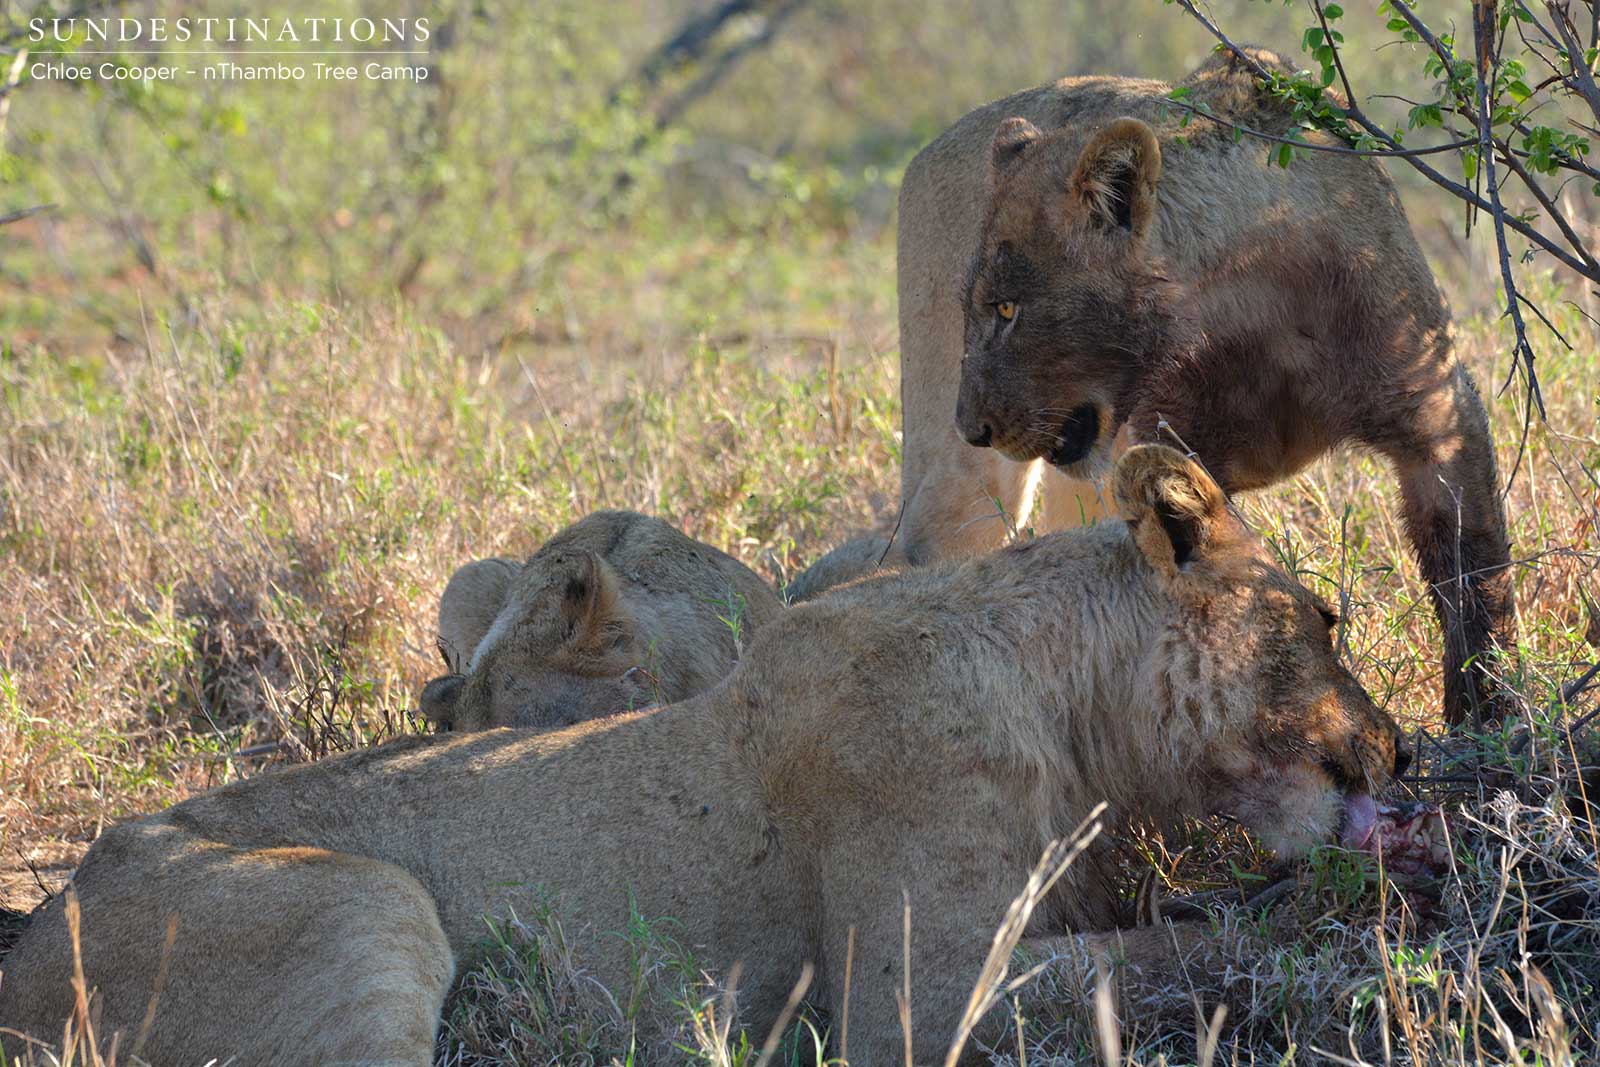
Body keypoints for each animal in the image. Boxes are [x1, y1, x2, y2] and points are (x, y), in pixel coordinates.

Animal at [885, 47, 1515, 725]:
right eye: (984, 309)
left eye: (1006, 309)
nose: (971, 426)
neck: (1253, 298)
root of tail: (928, 150)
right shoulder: (1173, 448)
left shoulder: (1436, 414)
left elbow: (1474, 572)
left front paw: (1491, 715)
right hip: (970, 485)